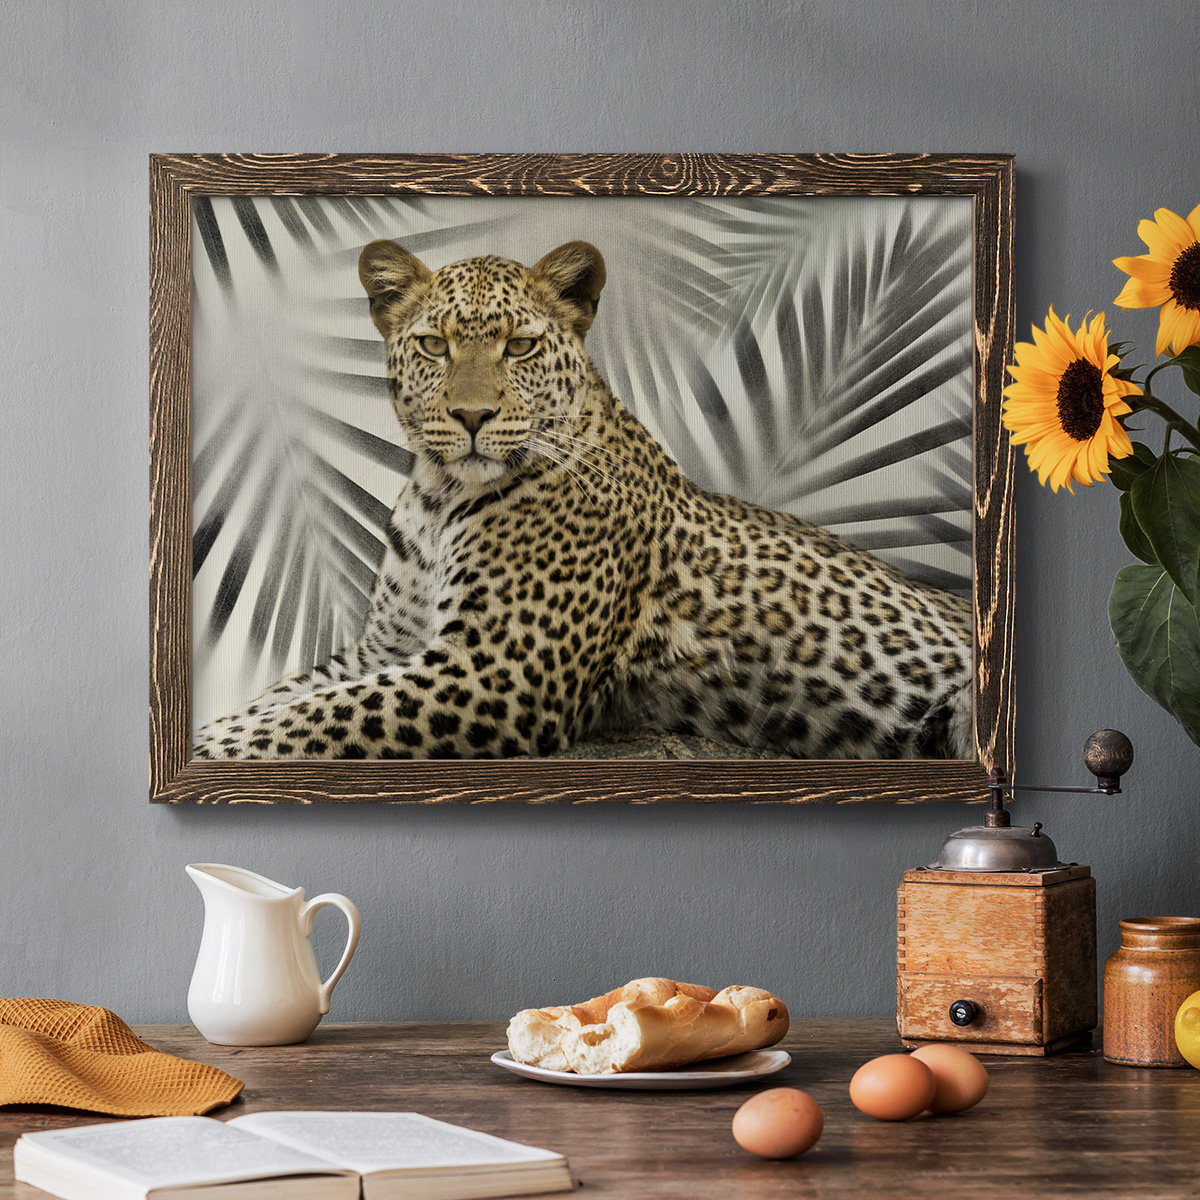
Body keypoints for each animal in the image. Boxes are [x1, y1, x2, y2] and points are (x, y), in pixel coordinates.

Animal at [194, 238, 972, 762]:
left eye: (520, 347)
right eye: (435, 346)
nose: (471, 416)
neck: (440, 497)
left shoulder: (498, 670)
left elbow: (307, 719)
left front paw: (209, 748)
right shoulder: (385, 646)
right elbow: (286, 698)